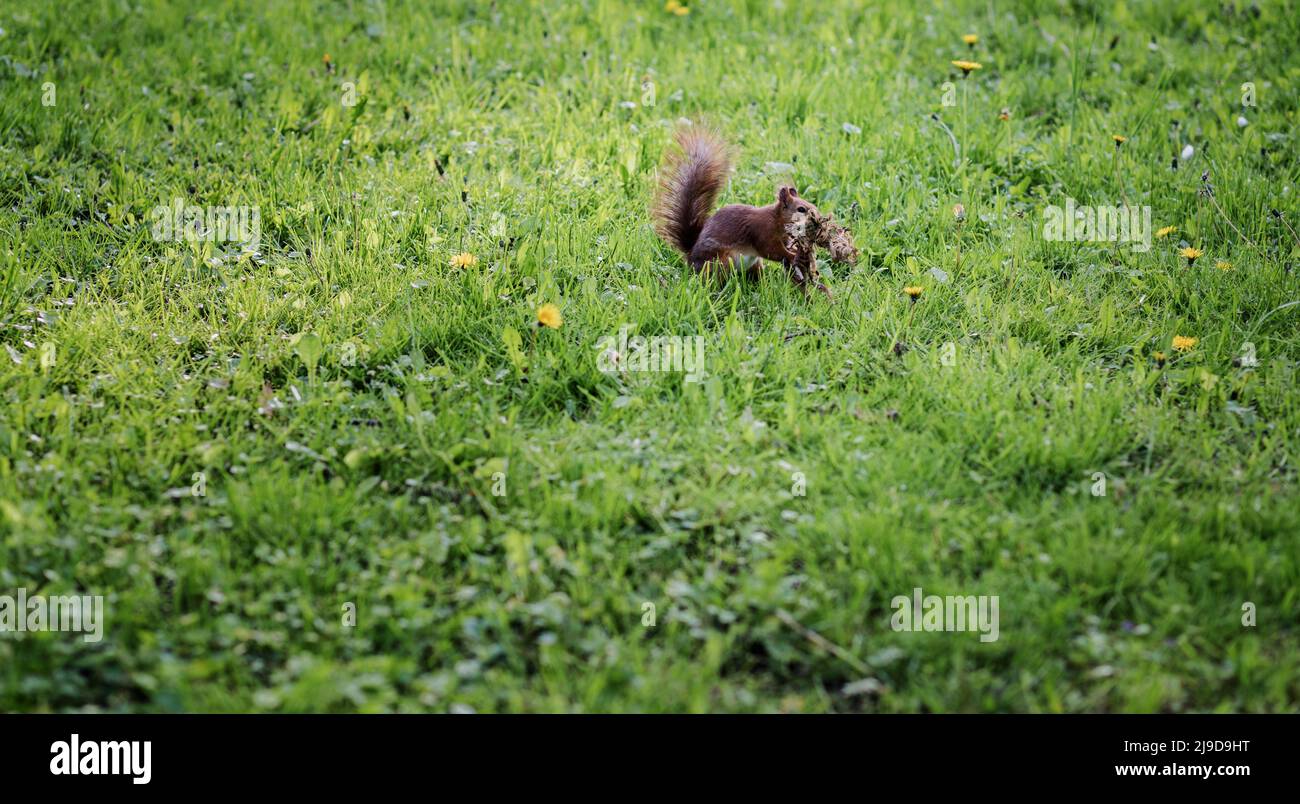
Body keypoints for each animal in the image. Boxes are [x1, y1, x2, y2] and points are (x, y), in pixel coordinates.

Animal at [651, 126, 829, 297]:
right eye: (801, 209)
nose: (820, 220)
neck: (777, 219)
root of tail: (691, 258)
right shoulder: (762, 232)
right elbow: (770, 250)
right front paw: (793, 257)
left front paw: (795, 253)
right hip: (722, 261)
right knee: (716, 280)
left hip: (754, 265)